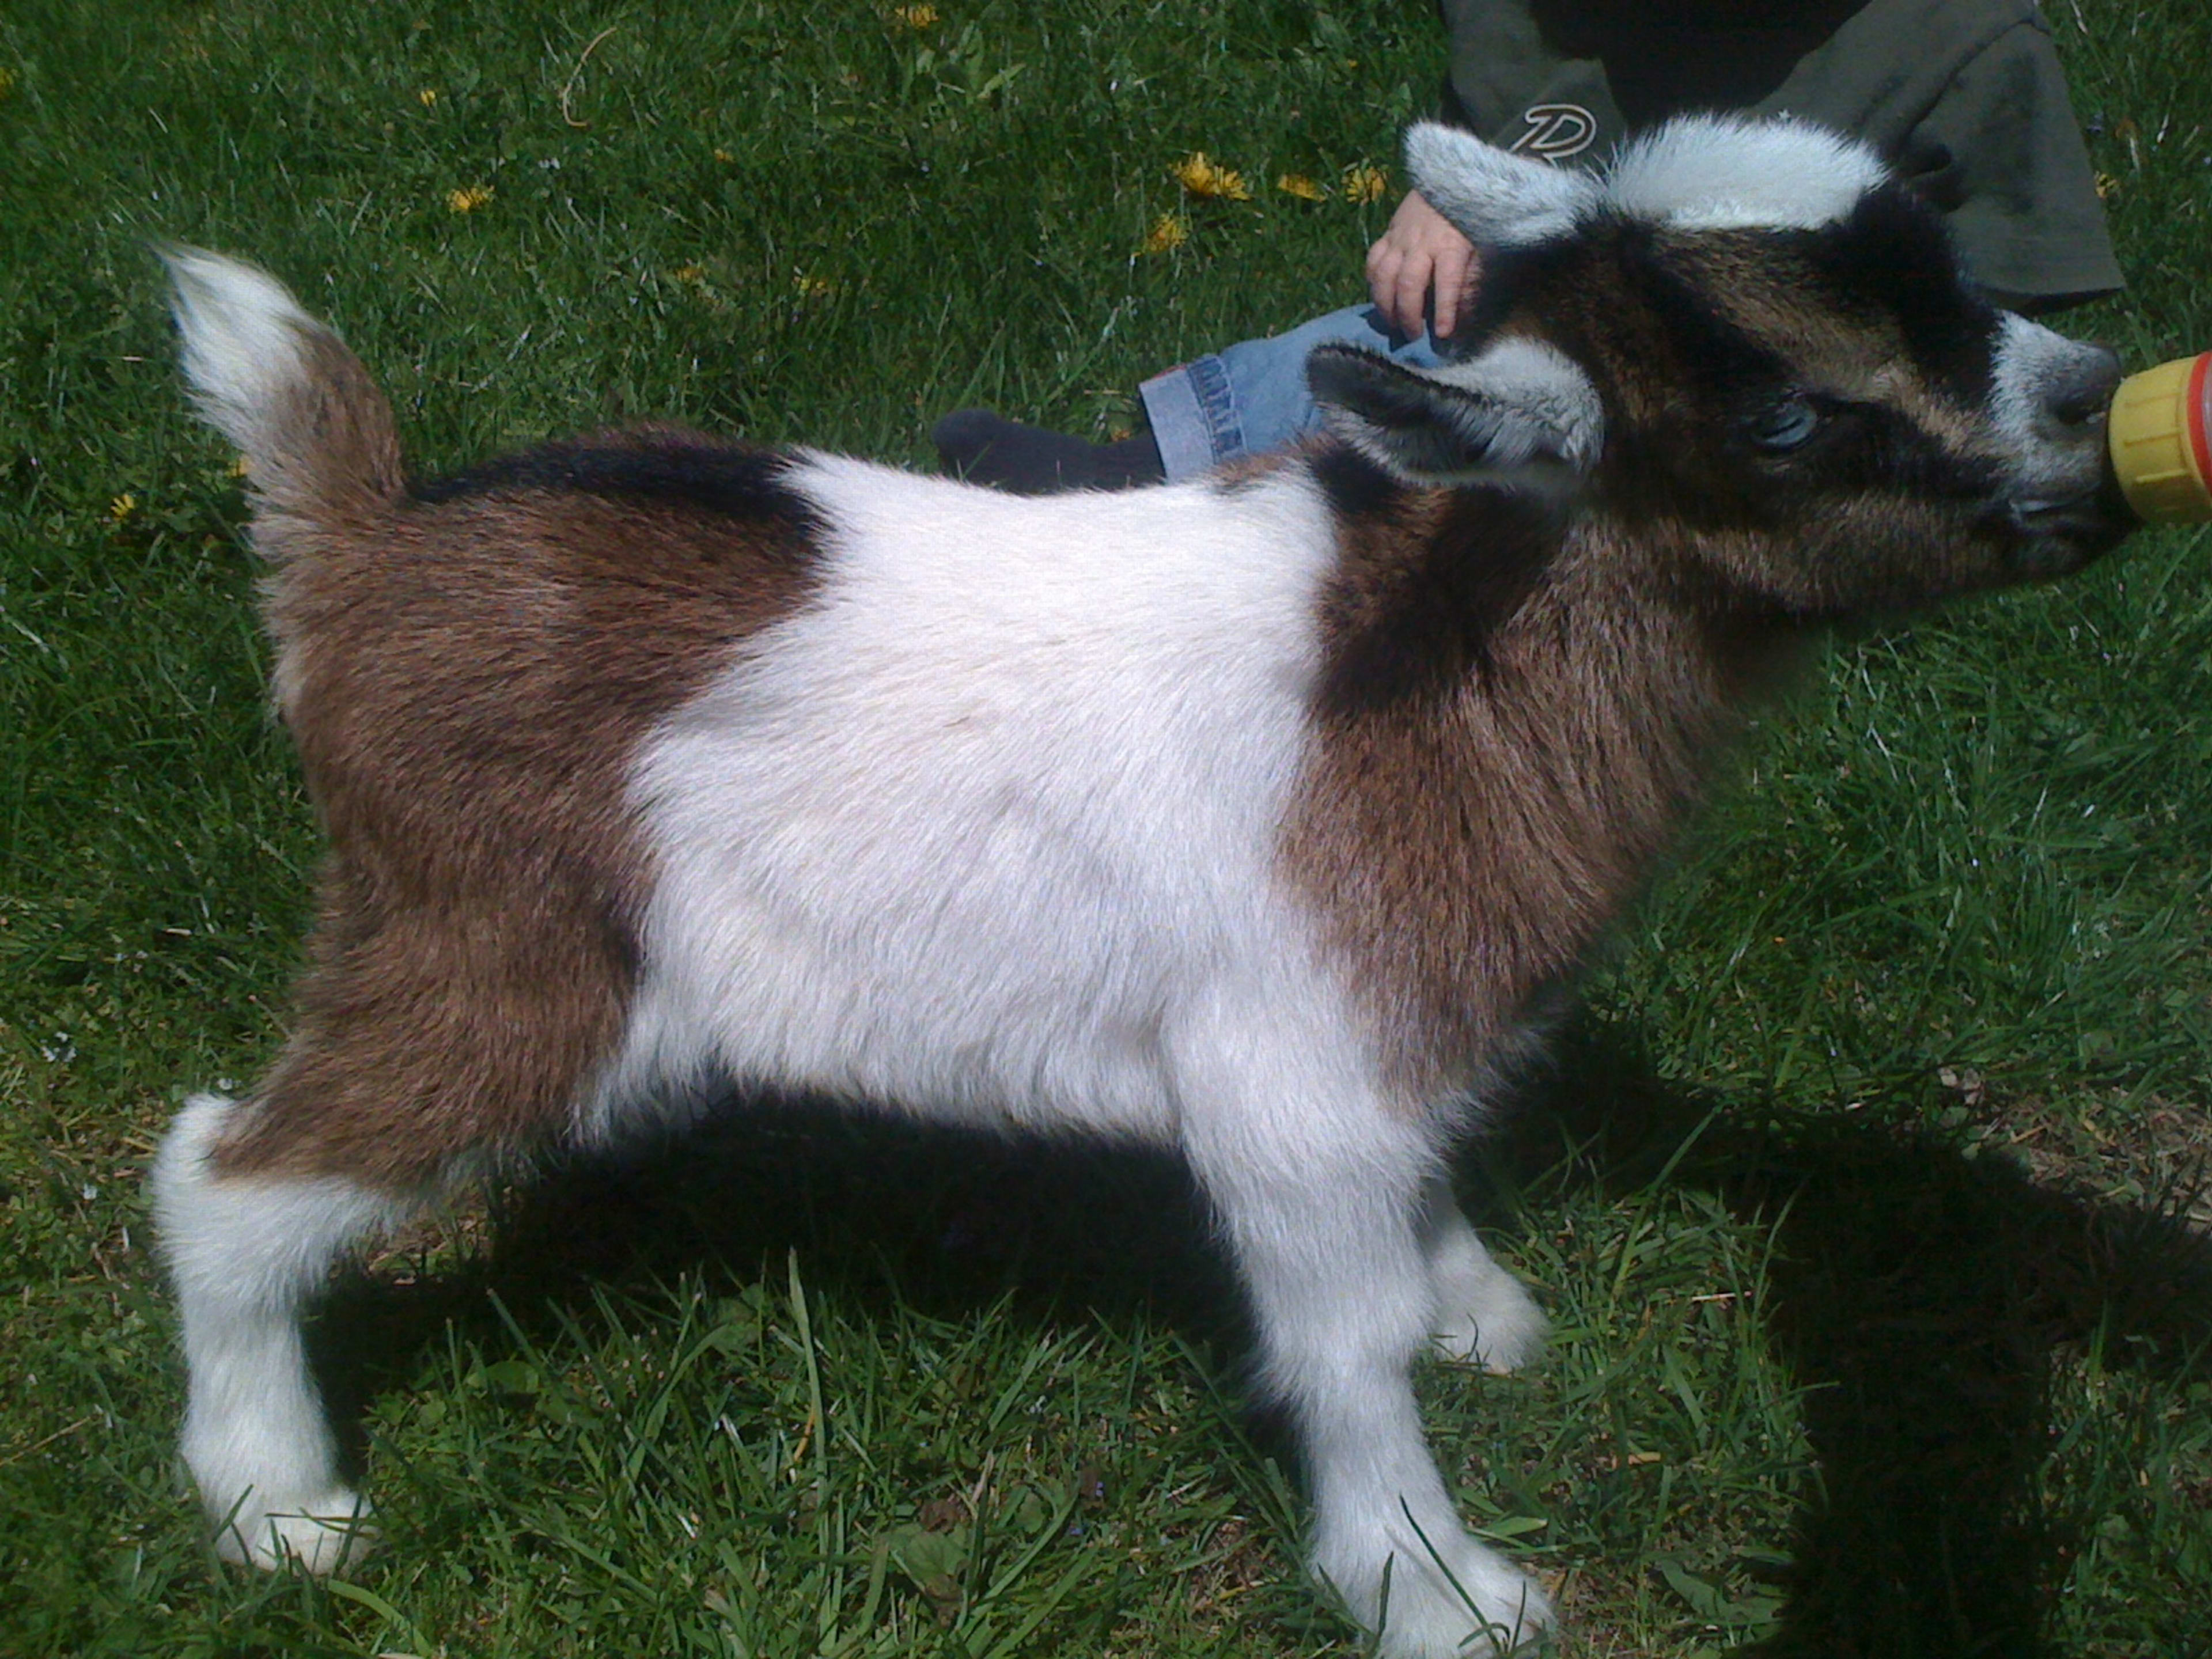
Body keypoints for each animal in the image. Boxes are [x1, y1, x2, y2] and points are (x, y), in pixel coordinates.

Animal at [154, 114, 2128, 1656]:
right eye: (1787, 413)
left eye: (1953, 270)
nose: (2100, 416)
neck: (1437, 640)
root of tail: (361, 554)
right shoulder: (1289, 1082)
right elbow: (1344, 1344)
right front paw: (1438, 1592)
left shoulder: (1386, 1034)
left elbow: (1414, 1239)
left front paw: (1477, 1306)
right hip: (502, 943)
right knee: (223, 1174)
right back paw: (277, 1509)